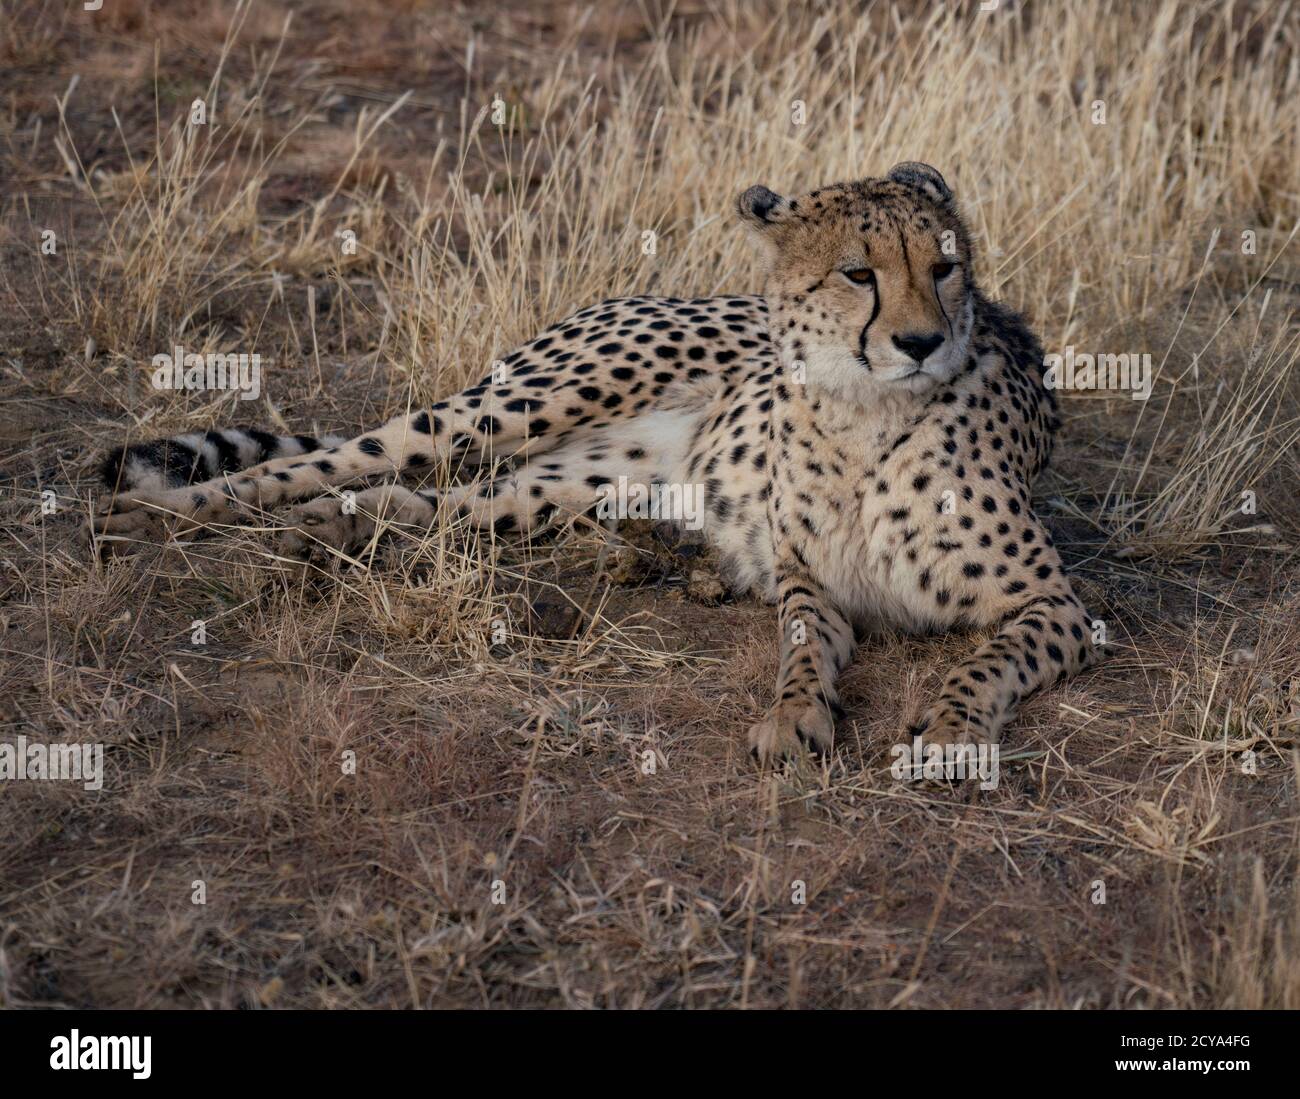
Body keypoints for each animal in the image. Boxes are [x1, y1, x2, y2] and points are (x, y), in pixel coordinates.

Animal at [92, 161, 1097, 766]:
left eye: (946, 266)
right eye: (860, 273)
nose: (922, 341)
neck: (865, 417)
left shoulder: (1056, 606)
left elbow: (986, 661)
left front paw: (955, 729)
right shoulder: (808, 583)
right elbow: (803, 648)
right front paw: (795, 713)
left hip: (578, 483)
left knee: (433, 505)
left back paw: (337, 531)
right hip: (518, 403)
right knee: (338, 455)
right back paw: (156, 514)